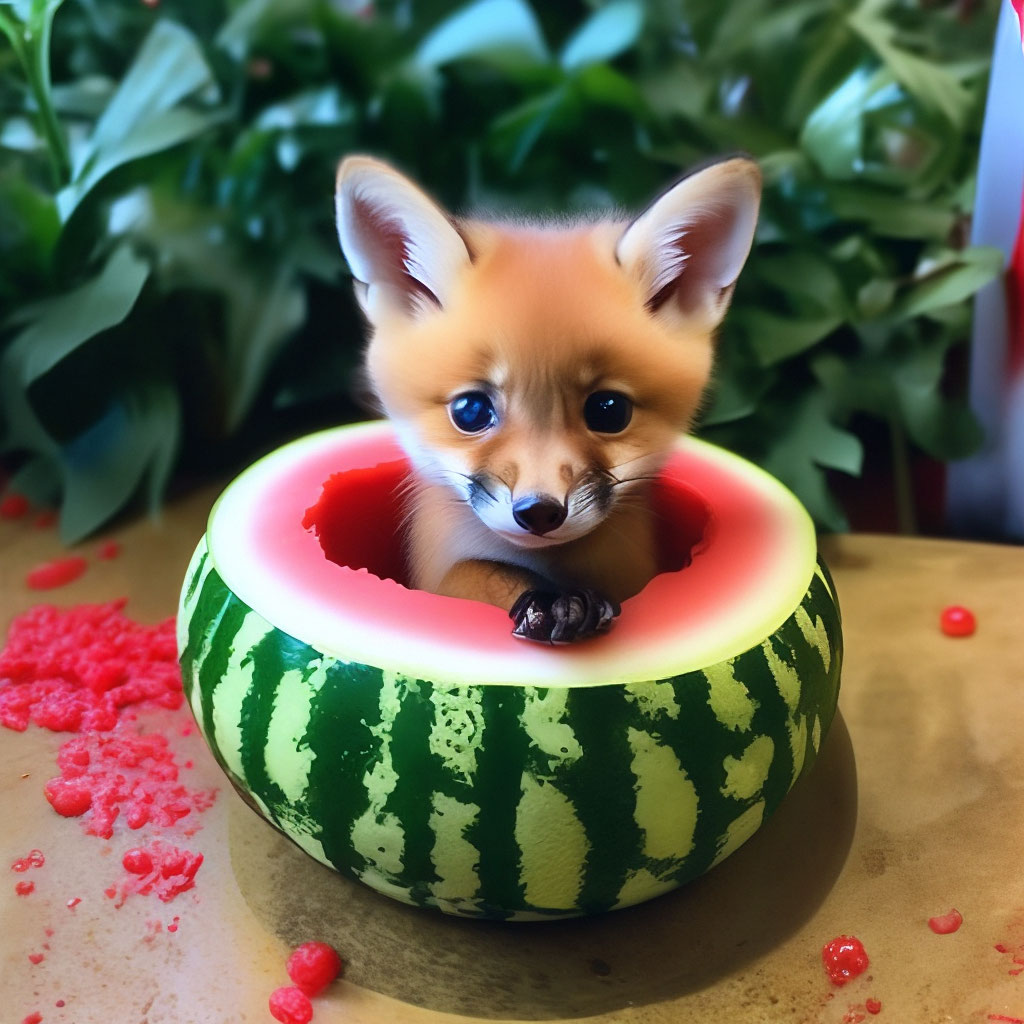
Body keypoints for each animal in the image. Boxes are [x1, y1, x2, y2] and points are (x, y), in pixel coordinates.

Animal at [334, 155, 761, 644]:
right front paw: (550, 601)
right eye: (471, 411)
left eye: (609, 410)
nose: (539, 512)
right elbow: (476, 570)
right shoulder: (444, 572)